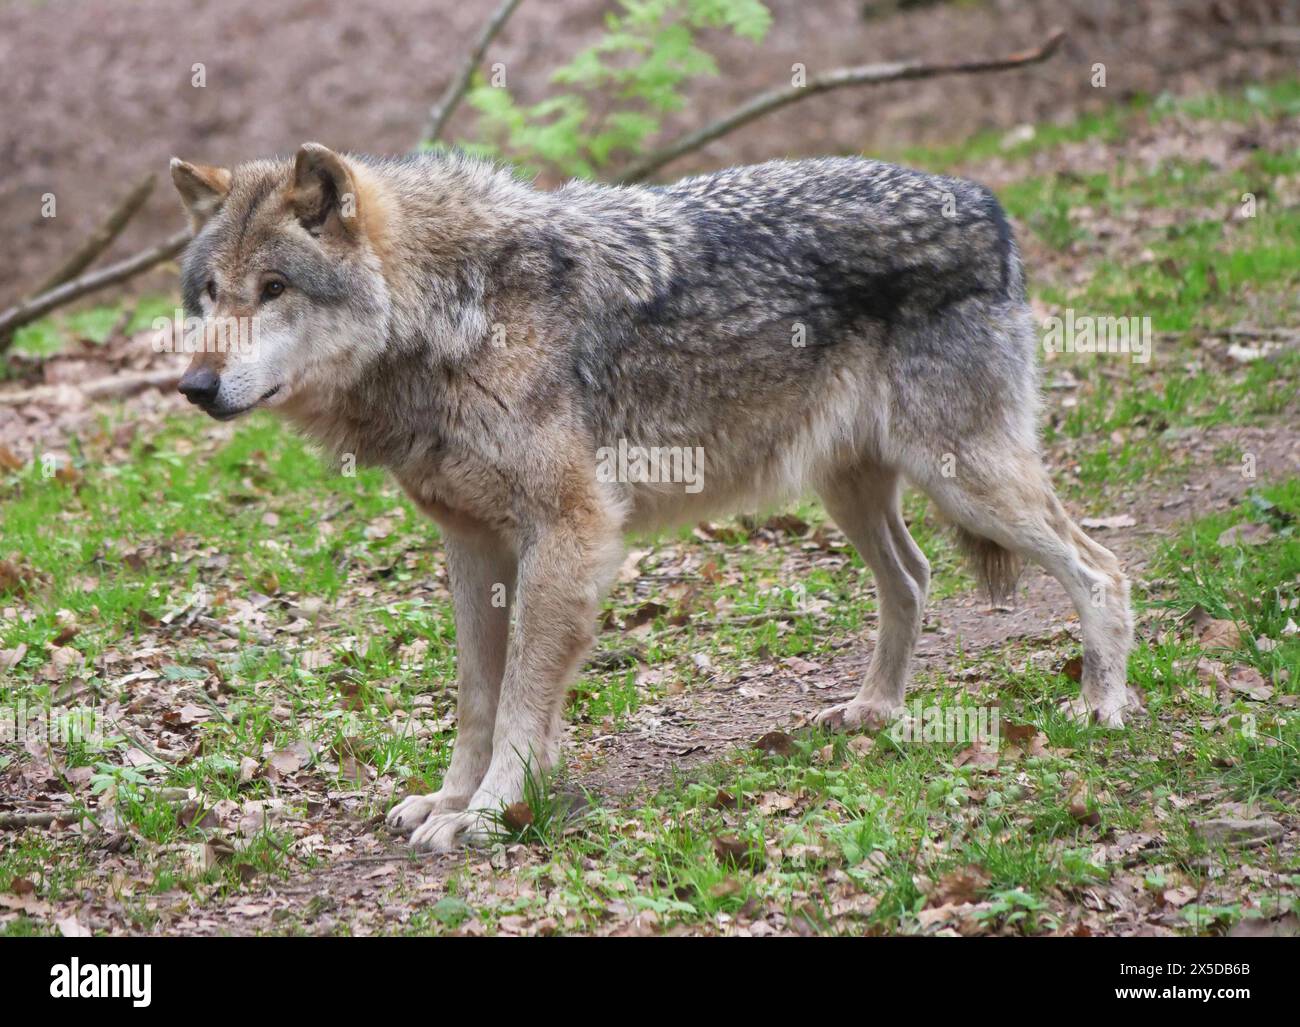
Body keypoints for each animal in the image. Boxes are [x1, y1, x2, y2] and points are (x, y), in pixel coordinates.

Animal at [170, 144, 1133, 850]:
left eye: (274, 289)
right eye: (210, 295)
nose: (194, 385)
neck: (453, 314)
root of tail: (982, 198)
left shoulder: (569, 532)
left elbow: (519, 697)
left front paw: (489, 812)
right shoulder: (471, 545)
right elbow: (477, 696)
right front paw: (447, 800)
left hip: (968, 479)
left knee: (1104, 570)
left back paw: (1101, 708)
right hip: (856, 492)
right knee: (916, 577)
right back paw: (875, 712)